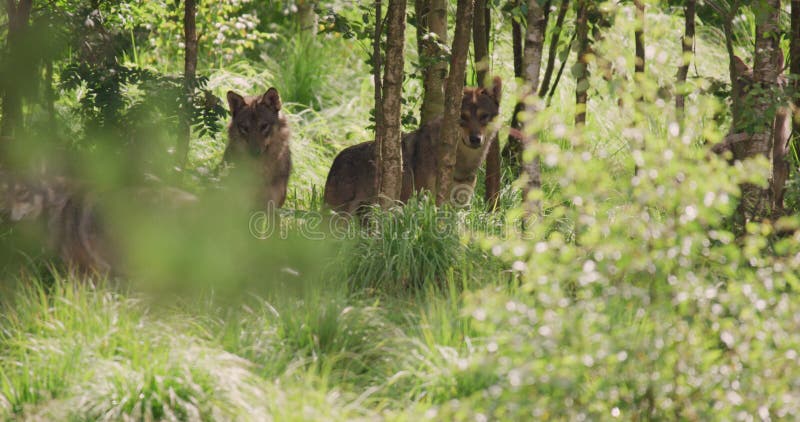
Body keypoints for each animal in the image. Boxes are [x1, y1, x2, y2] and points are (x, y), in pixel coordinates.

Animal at [324, 77, 502, 214]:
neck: (460, 164)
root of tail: (336, 159)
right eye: (462, 117)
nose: (475, 139)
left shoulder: (458, 205)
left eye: (484, 116)